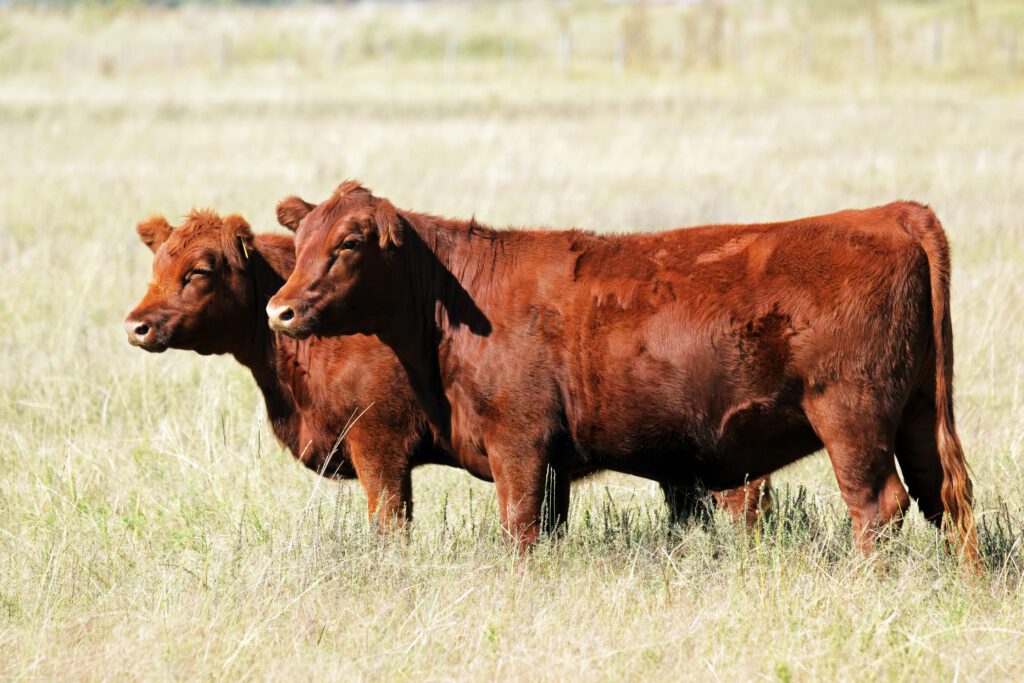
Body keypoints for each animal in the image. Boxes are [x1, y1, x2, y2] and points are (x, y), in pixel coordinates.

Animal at [266, 181, 978, 566]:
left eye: (348, 244)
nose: (280, 309)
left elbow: (520, 529)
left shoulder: (518, 441)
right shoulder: (550, 462)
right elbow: (546, 529)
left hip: (851, 415)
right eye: (300, 245)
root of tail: (890, 212)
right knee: (947, 497)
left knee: (878, 506)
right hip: (918, 412)